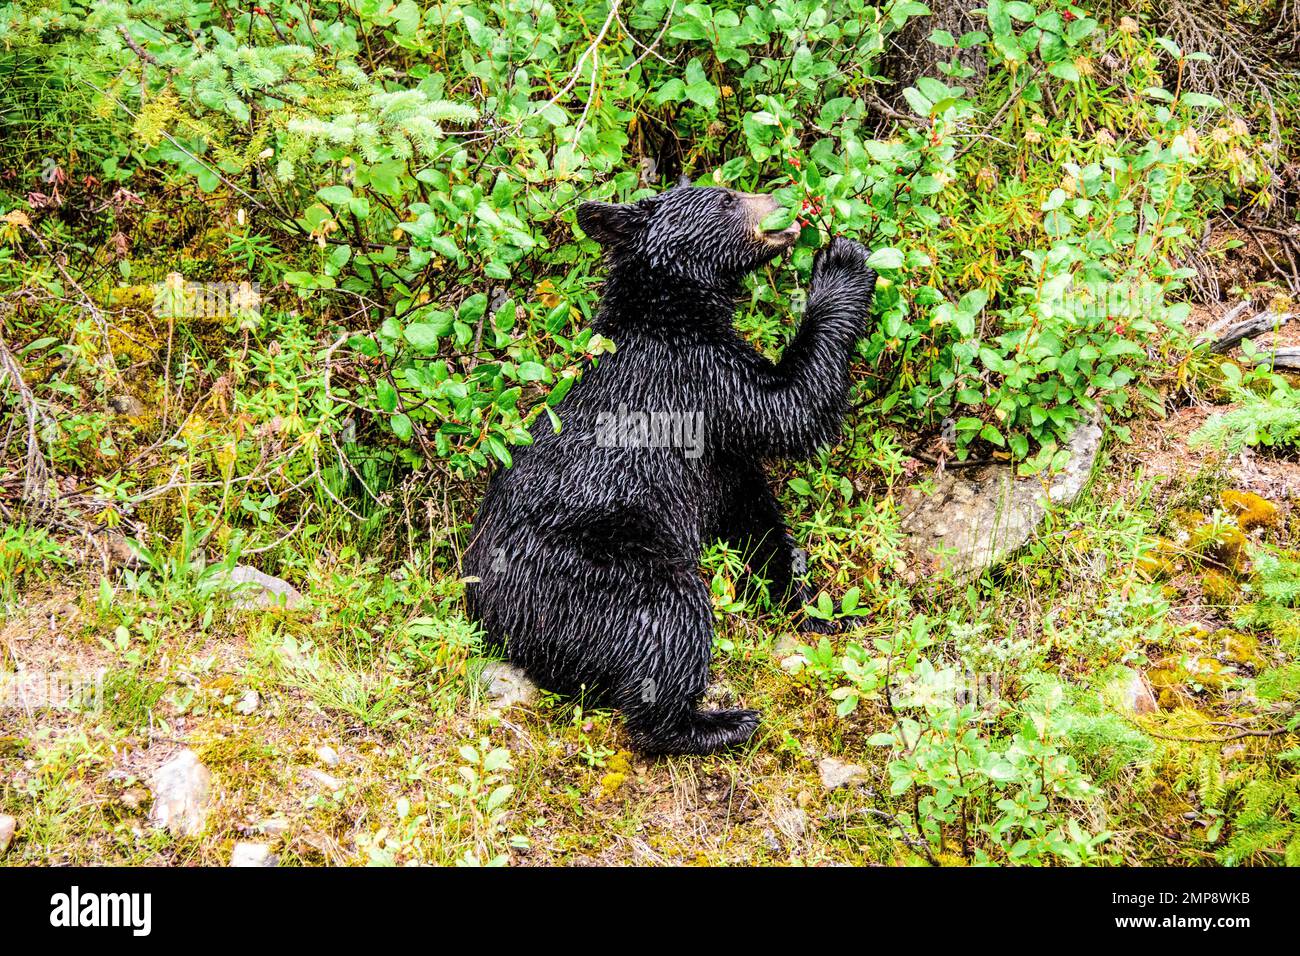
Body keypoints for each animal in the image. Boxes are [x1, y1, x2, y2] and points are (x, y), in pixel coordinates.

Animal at [463, 182, 876, 755]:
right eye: (727, 197)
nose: (784, 201)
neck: (672, 308)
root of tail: (489, 612)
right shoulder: (696, 378)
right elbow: (791, 403)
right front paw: (843, 260)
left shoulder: (720, 450)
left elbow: (755, 518)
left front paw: (822, 608)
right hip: (598, 569)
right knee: (668, 615)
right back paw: (715, 722)